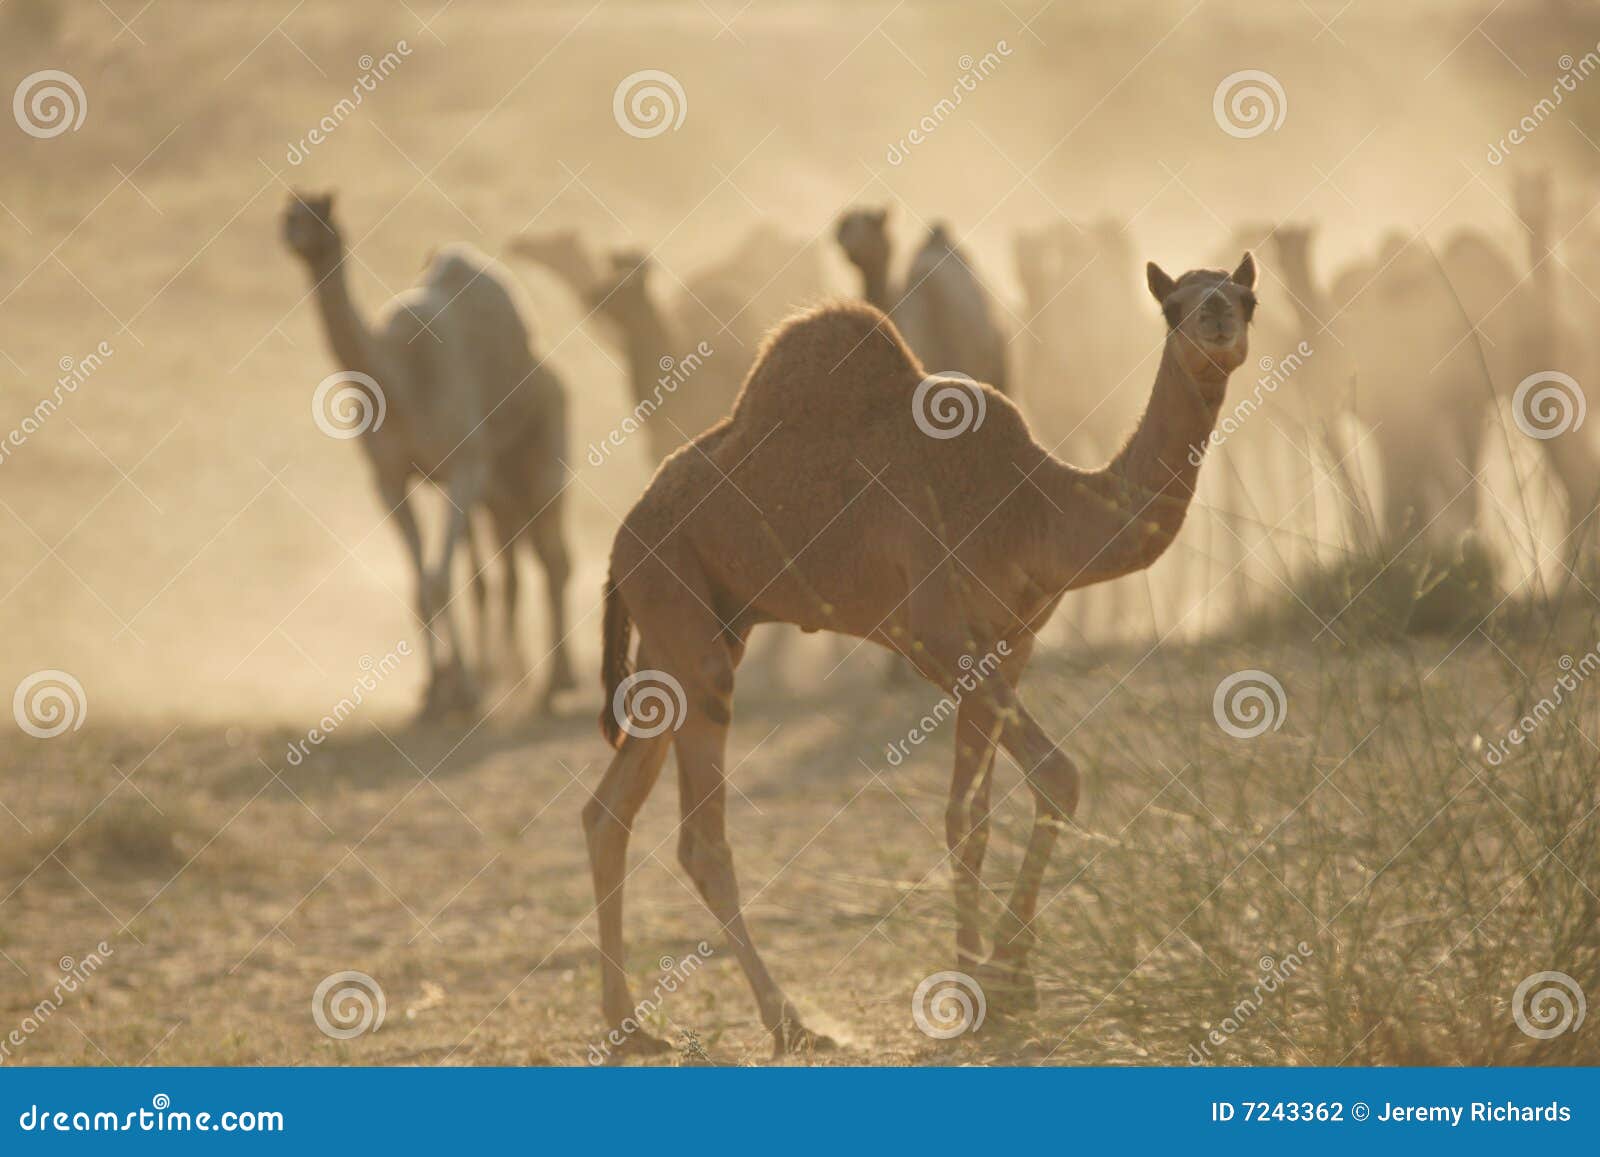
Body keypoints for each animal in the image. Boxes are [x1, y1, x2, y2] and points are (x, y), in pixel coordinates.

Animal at [281, 191, 575, 714]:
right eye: (289, 214)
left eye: (321, 214)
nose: (293, 236)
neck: (399, 381)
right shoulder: (389, 479)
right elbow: (423, 584)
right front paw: (435, 691)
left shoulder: (463, 466)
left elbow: (441, 580)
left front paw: (465, 690)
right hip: (499, 486)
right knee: (513, 565)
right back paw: (525, 679)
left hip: (544, 439)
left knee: (553, 558)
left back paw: (555, 684)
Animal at [583, 252, 1259, 1055]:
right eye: (1172, 306)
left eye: (1248, 297)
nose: (1216, 317)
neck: (1034, 506)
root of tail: (620, 541)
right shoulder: (937, 639)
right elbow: (1055, 778)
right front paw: (998, 977)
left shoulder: (1011, 642)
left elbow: (970, 814)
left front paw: (990, 985)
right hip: (685, 618)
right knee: (701, 840)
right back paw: (789, 1022)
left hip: (692, 631)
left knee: (608, 812)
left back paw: (629, 1027)